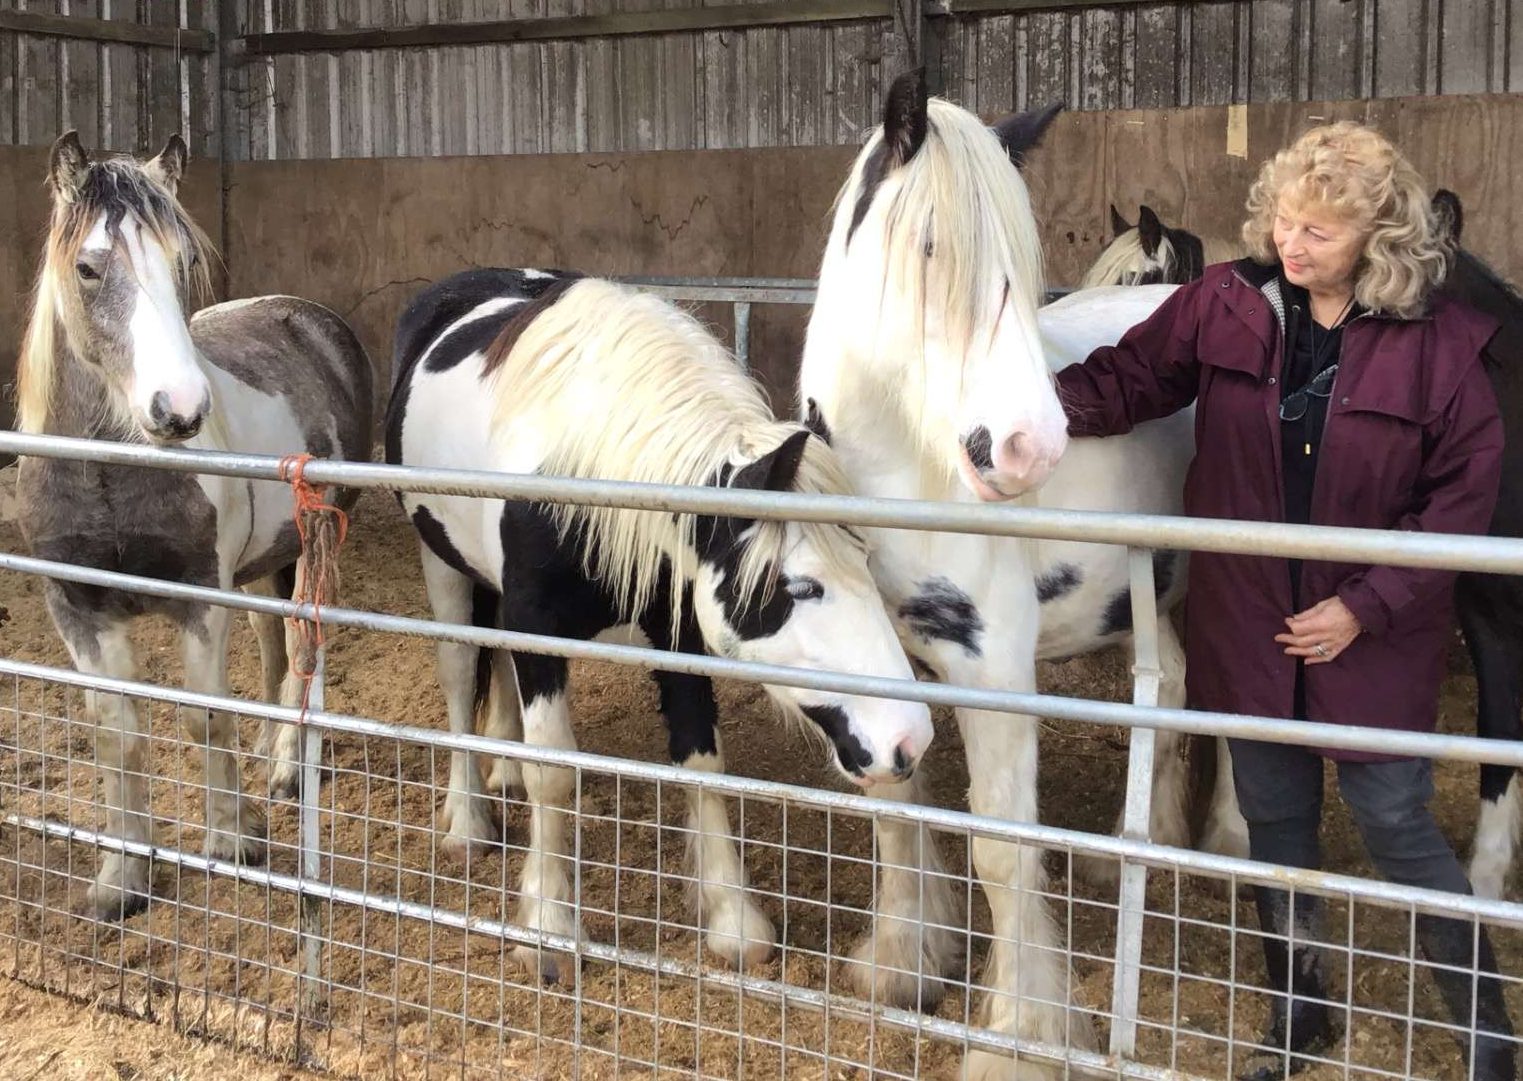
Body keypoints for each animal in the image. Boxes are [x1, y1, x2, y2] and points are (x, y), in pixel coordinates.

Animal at [13, 133, 376, 921]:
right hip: (267, 561)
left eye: (182, 264)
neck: (113, 470)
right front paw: (122, 876)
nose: (179, 409)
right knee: (274, 648)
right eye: (88, 267)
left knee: (303, 649)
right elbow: (116, 731)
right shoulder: (76, 610)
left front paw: (233, 841)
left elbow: (204, 716)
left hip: (317, 546)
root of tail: (303, 314)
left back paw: (288, 771)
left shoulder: (201, 601)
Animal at [384, 267, 934, 980]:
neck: (586, 476)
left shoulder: (681, 636)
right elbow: (553, 774)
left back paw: (501, 769)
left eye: (867, 563)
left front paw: (732, 919)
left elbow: (701, 760)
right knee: (457, 678)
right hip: (442, 566)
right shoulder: (536, 630)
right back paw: (468, 819)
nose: (909, 739)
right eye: (798, 586)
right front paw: (550, 926)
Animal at [797, 70, 1245, 1079]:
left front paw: (1019, 1037)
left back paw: (1229, 842)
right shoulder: (875, 668)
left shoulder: (991, 669)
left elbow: (1004, 849)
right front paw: (903, 965)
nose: (1028, 447)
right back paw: (1147, 840)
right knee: (1179, 690)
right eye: (930, 246)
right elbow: (894, 808)